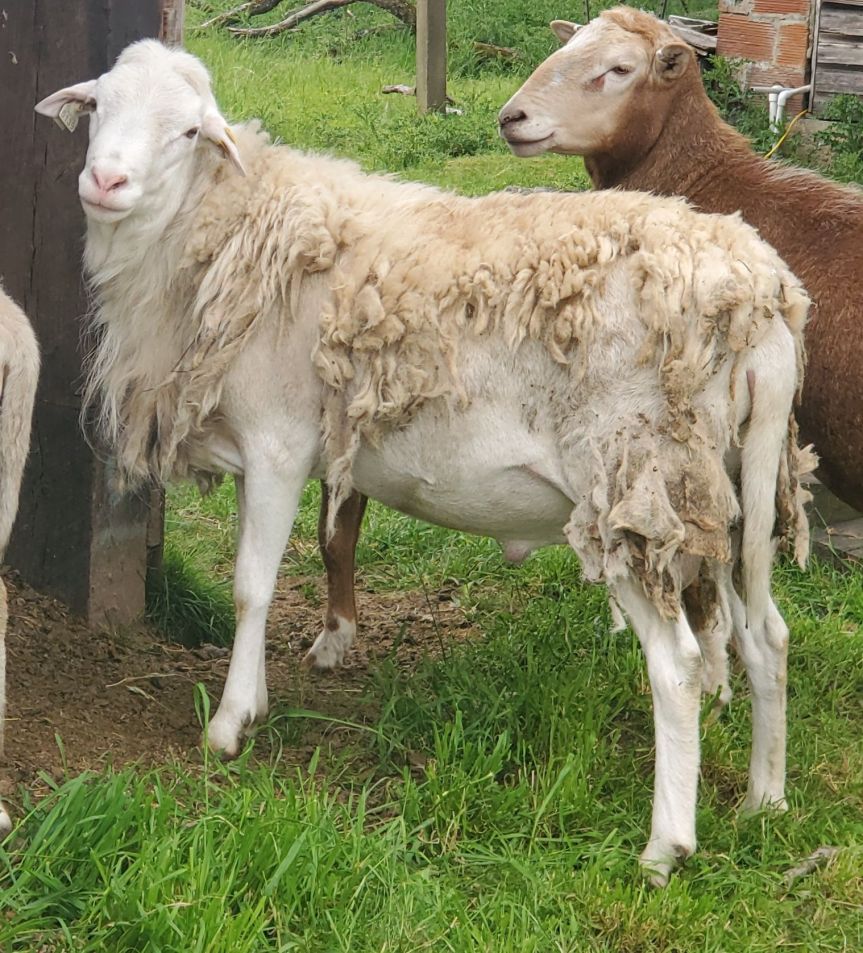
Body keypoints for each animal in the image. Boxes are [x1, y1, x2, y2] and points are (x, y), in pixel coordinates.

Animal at [36, 39, 812, 884]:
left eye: (186, 132)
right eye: (100, 106)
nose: (104, 183)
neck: (232, 226)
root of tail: (762, 298)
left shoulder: (277, 441)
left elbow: (251, 588)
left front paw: (232, 722)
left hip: (631, 482)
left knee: (676, 663)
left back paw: (665, 845)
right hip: (721, 490)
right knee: (765, 634)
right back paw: (765, 800)